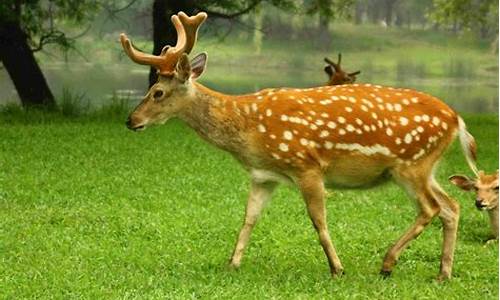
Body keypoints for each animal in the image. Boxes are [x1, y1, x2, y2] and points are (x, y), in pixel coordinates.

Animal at [120, 10, 476, 280]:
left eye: (157, 92)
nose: (131, 120)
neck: (248, 131)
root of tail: (457, 119)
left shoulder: (307, 165)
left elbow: (319, 221)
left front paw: (337, 268)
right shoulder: (263, 175)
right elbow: (248, 218)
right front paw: (232, 263)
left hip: (411, 163)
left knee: (431, 208)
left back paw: (388, 263)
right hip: (427, 167)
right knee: (451, 207)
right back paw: (443, 273)